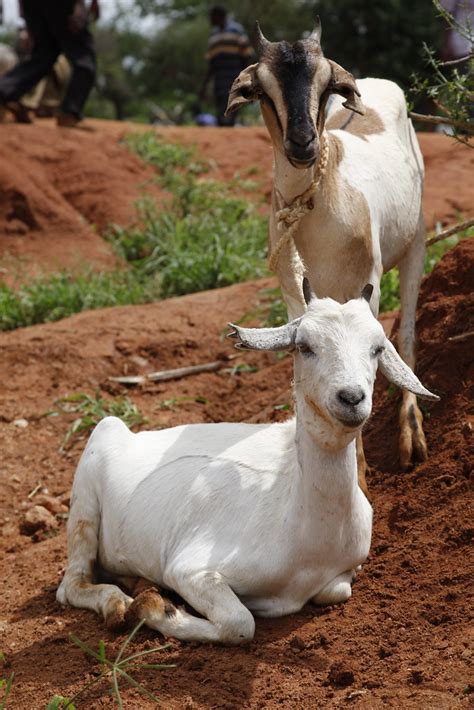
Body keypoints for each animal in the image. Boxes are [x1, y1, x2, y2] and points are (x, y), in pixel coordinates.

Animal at [56, 282, 438, 644]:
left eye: (377, 348)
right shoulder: (189, 569)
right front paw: (155, 607)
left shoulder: (346, 570)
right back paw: (117, 603)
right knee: (71, 584)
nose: (352, 398)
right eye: (304, 346)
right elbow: (240, 623)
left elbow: (335, 591)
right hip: (87, 493)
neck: (306, 533)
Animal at [226, 19, 429, 491]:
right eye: (262, 89)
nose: (303, 144)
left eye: (325, 85)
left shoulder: (366, 287)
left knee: (408, 335)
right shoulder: (294, 293)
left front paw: (360, 473)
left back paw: (412, 434)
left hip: (417, 241)